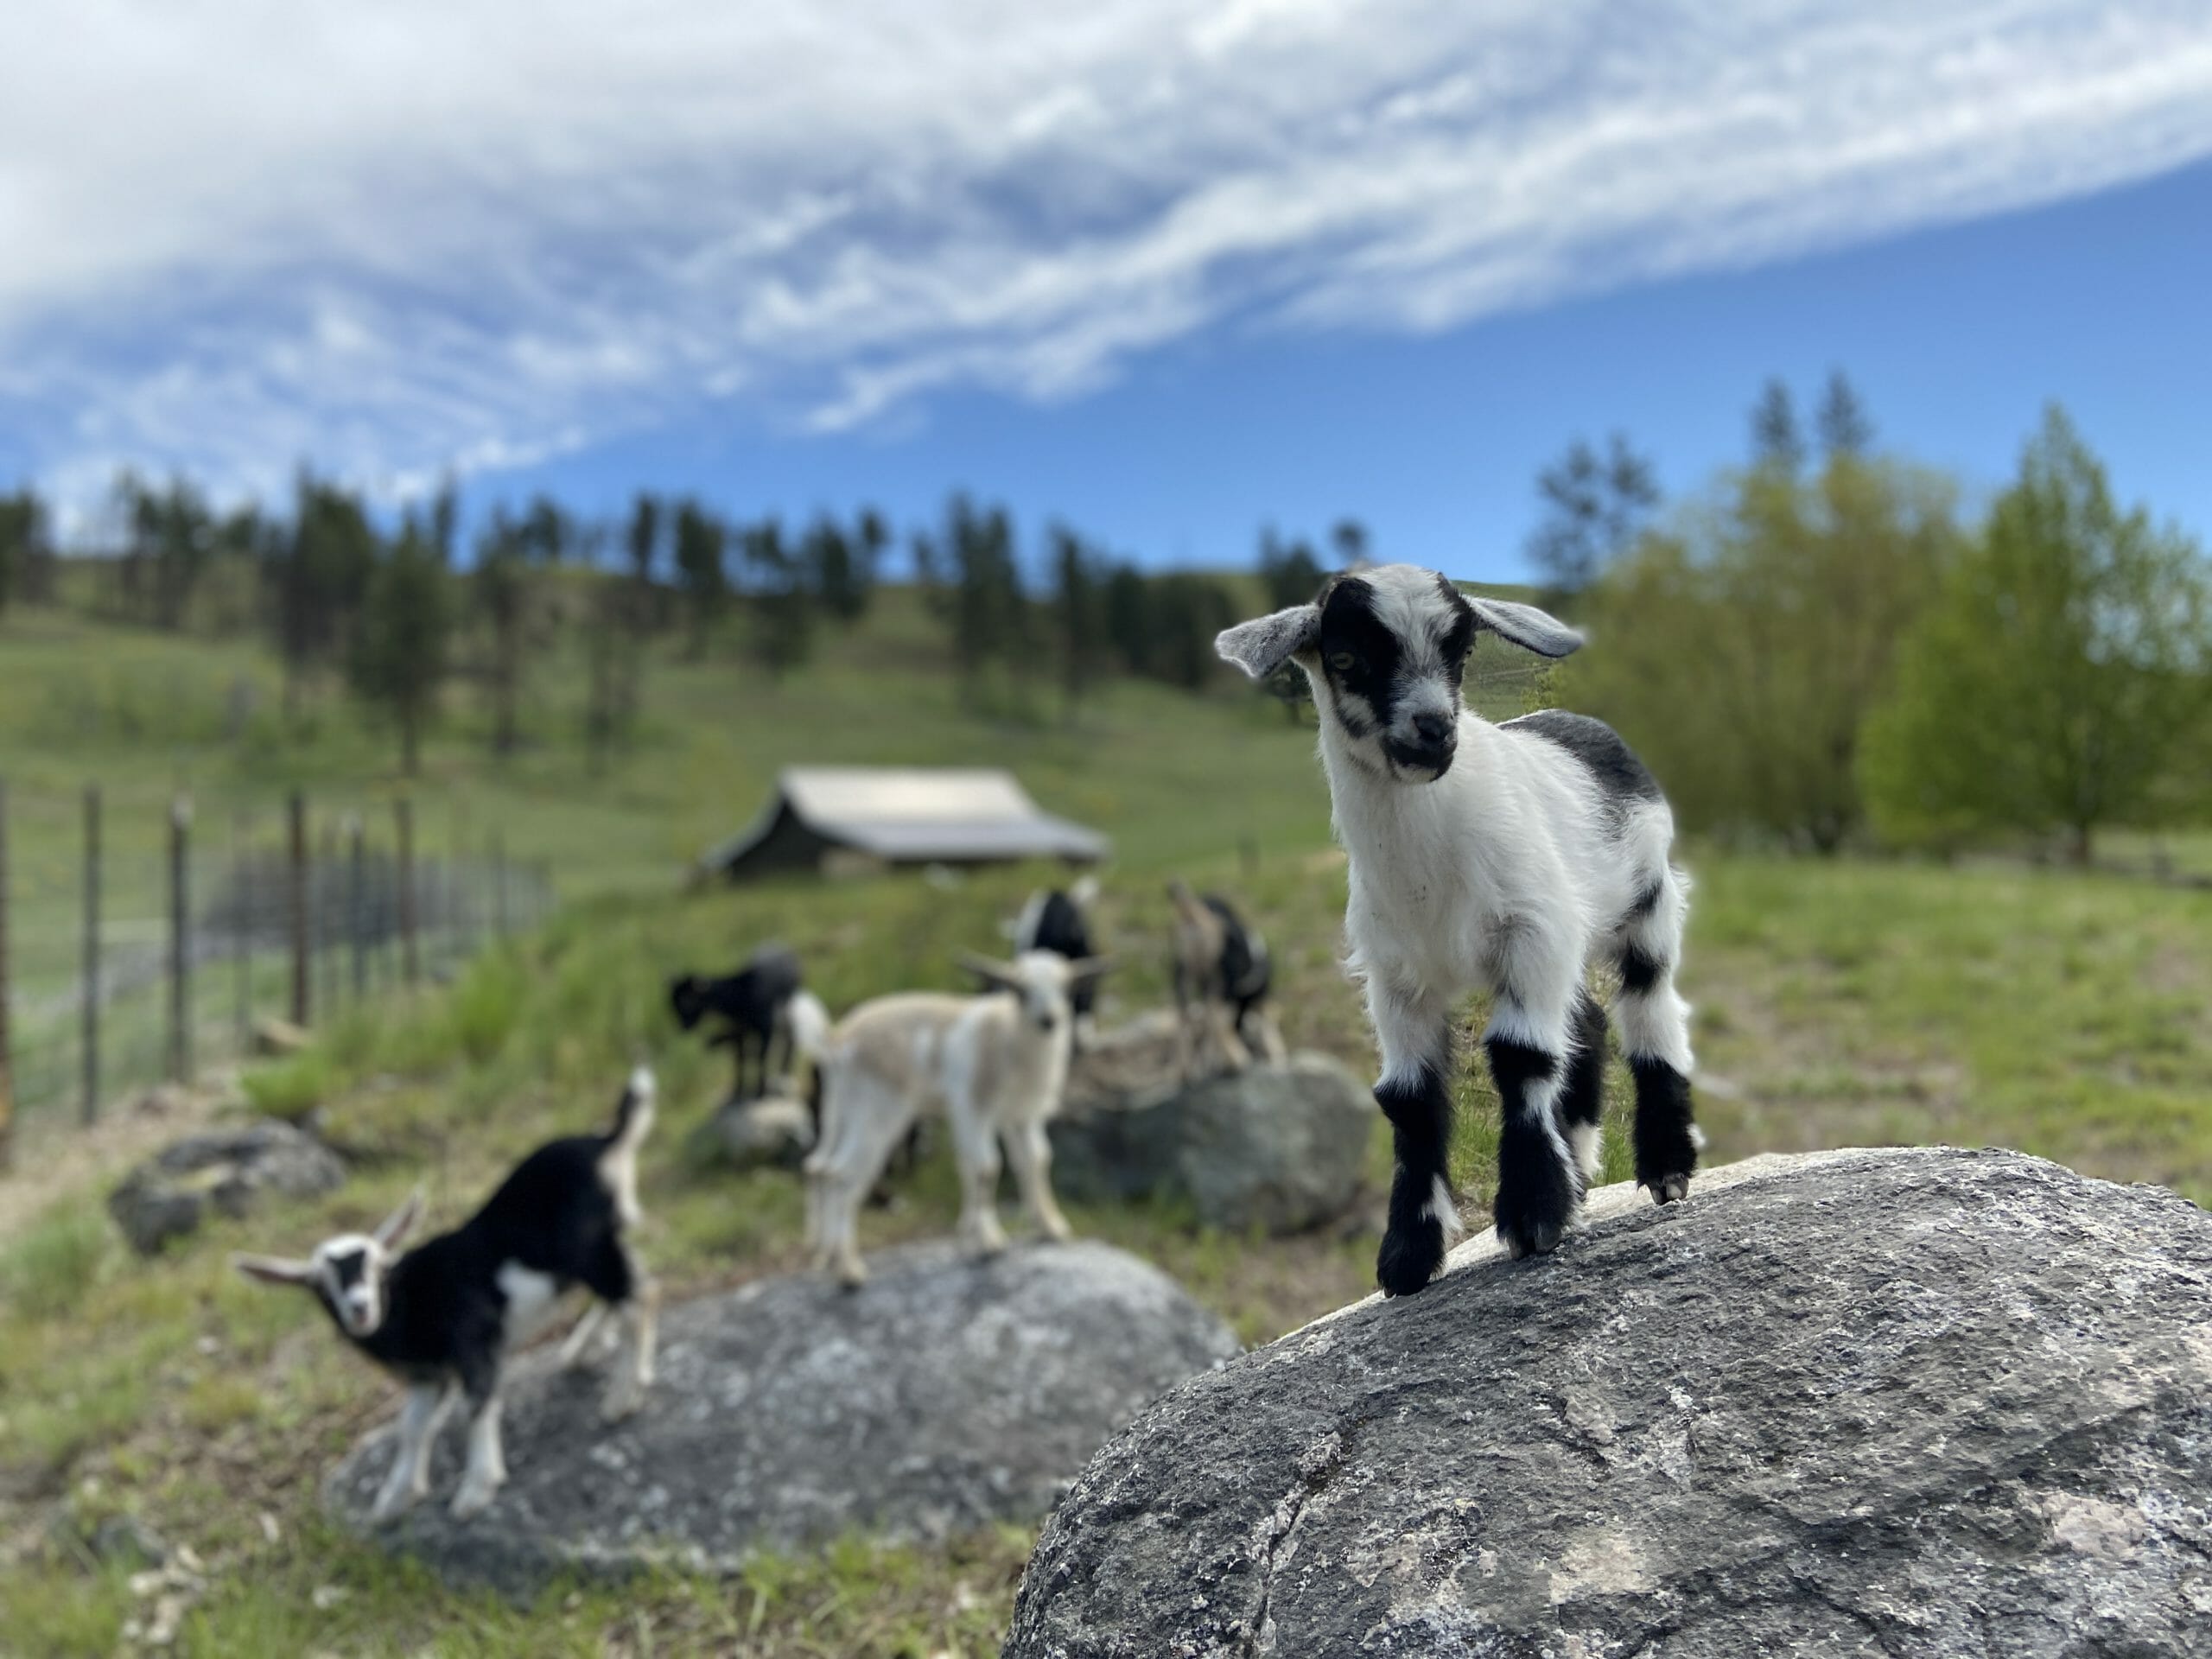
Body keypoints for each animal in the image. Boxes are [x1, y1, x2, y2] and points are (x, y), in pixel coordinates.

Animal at [235, 1069, 660, 1521]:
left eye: (378, 1269)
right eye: (319, 1285)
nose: (359, 1308)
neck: (407, 1302)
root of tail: (607, 1141)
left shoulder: (472, 1338)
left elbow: (477, 1405)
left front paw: (476, 1490)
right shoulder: (428, 1373)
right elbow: (411, 1427)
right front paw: (393, 1500)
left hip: (587, 1247)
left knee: (639, 1296)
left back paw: (622, 1397)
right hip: (599, 1246)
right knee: (627, 1288)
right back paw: (584, 1352)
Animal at [670, 944, 805, 1104]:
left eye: (688, 1002)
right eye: (672, 1004)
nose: (683, 1027)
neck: (742, 992)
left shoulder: (766, 1027)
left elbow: (761, 1057)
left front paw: (760, 1092)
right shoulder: (740, 1029)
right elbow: (740, 1058)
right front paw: (738, 1092)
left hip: (788, 1006)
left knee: (790, 1038)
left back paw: (784, 1077)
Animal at [803, 951, 1109, 1287]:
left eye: (1066, 988)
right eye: (1020, 991)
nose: (1049, 1020)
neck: (1008, 1033)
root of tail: (837, 1040)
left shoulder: (1021, 1115)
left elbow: (1035, 1161)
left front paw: (1051, 1227)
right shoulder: (973, 1108)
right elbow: (986, 1167)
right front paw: (989, 1241)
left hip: (840, 1108)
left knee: (820, 1167)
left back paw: (824, 1253)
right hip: (877, 1113)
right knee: (844, 1175)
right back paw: (848, 1270)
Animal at [1166, 881, 1285, 1078]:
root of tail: (1197, 916)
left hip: (1184, 974)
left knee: (1185, 1018)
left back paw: (1185, 1072)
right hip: (1221, 979)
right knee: (1216, 1018)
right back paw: (1235, 1060)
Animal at [1217, 564, 1700, 1294]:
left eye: (1462, 652)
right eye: (1346, 659)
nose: (1435, 730)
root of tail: (1583, 726)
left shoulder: (1530, 930)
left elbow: (1520, 1056)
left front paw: (1533, 1215)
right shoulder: (1395, 979)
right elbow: (1409, 1100)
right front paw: (1407, 1256)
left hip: (1647, 899)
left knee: (1650, 1006)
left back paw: (1667, 1167)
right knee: (1586, 1022)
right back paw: (1580, 1163)